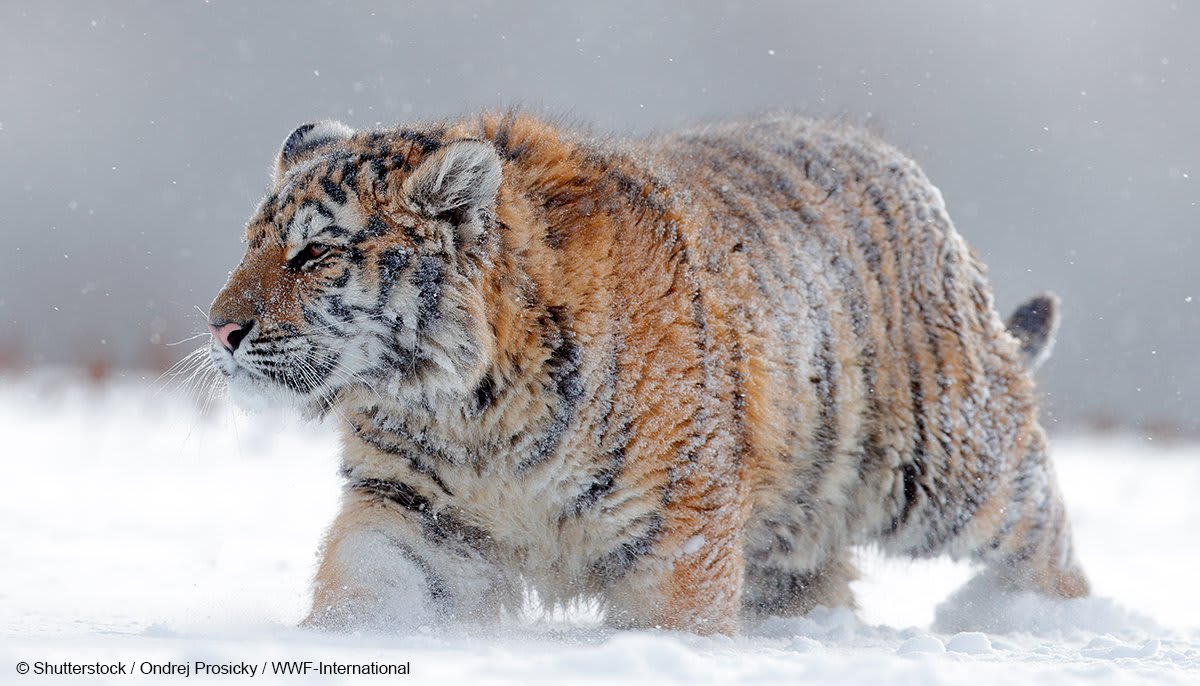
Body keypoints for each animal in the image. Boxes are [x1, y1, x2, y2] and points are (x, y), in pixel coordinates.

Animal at [205, 111, 1088, 634]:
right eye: (249, 242)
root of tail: (904, 168)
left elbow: (675, 623)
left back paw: (1046, 621)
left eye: (314, 253)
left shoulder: (678, 530)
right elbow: (364, 587)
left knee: (1039, 513)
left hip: (946, 466)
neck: (463, 410)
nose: (219, 328)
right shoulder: (414, 509)